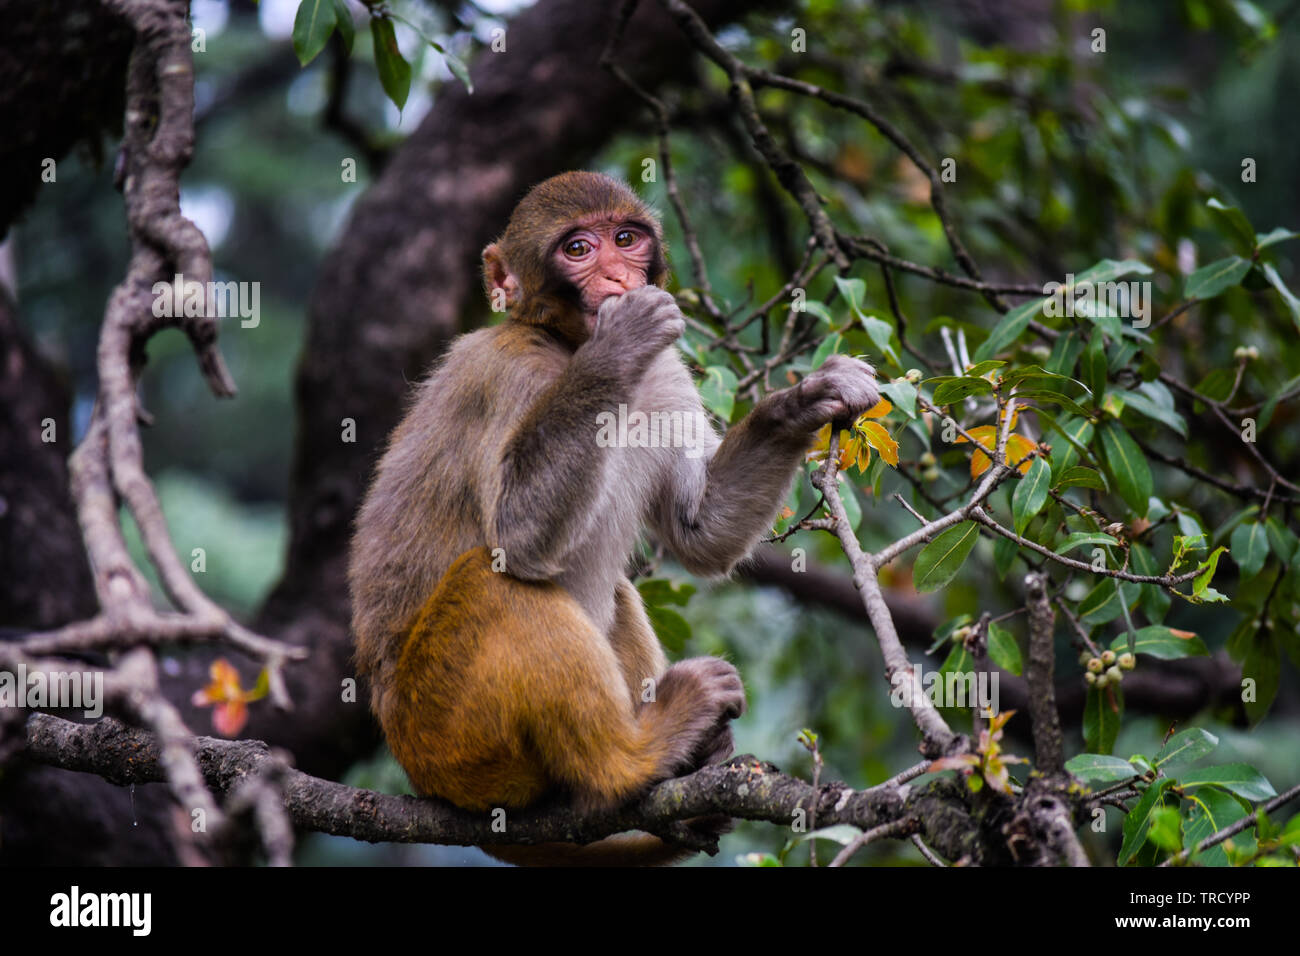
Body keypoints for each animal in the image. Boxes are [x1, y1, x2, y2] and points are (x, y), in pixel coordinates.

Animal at [348, 170, 879, 865]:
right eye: (578, 249)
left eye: (625, 239)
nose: (618, 278)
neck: (564, 343)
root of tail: (417, 772)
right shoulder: (505, 374)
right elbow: (517, 537)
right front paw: (618, 346)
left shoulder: (666, 374)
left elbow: (699, 530)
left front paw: (808, 398)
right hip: (446, 734)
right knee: (493, 582)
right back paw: (633, 757)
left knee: (612, 591)